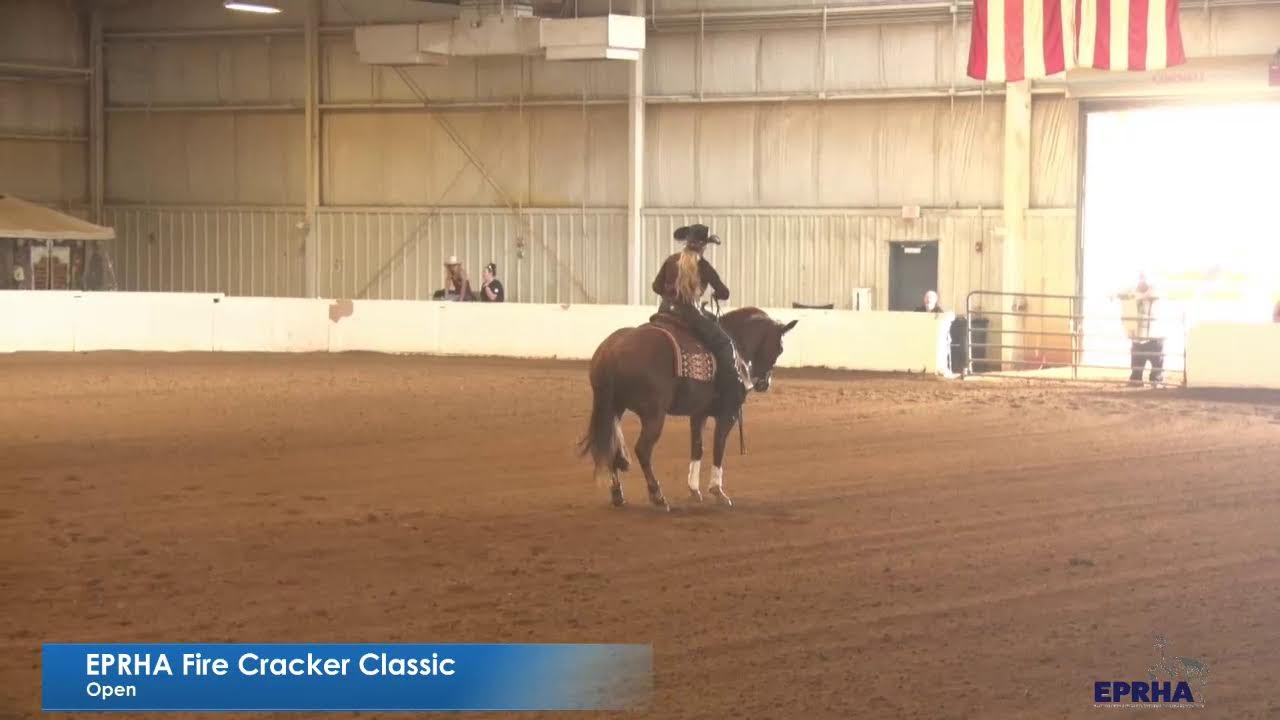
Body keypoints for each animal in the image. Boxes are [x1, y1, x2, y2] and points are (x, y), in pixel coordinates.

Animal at [579, 306, 797, 510]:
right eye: (780, 348)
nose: (764, 384)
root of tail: (611, 350)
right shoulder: (728, 414)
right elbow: (718, 447)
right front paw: (718, 491)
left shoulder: (698, 414)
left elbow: (697, 448)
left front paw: (694, 490)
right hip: (653, 415)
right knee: (642, 450)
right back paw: (657, 496)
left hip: (613, 410)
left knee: (610, 445)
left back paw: (618, 495)